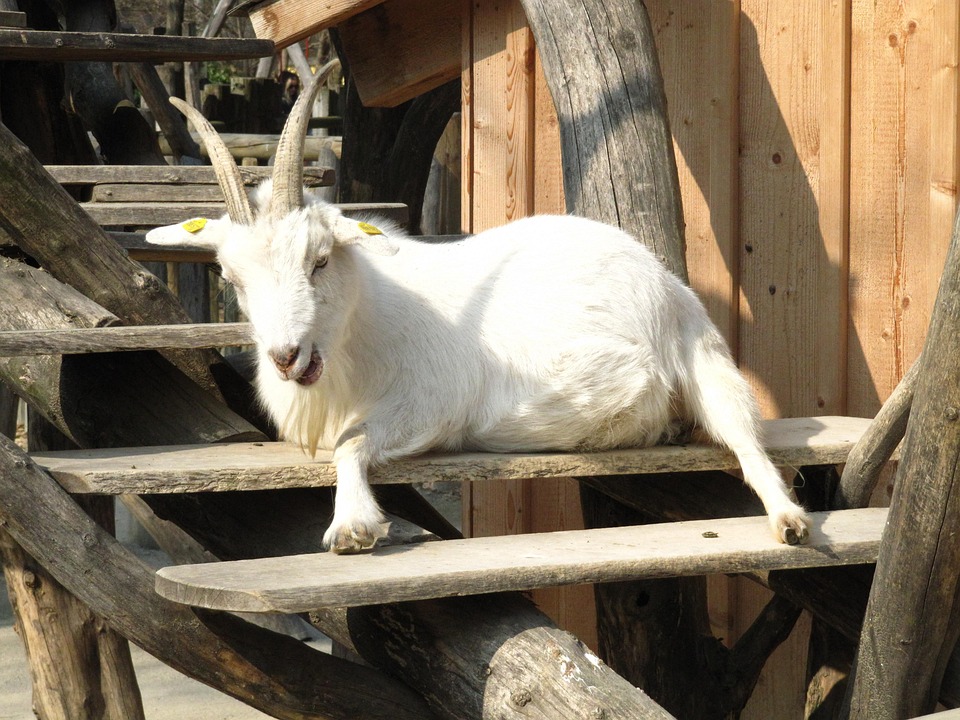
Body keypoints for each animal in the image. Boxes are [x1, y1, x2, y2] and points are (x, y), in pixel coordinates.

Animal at [147, 64, 810, 553]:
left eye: (320, 260)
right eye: (231, 277)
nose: (286, 356)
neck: (366, 323)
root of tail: (665, 283)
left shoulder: (431, 406)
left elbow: (352, 442)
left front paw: (353, 527)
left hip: (703, 368)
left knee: (744, 437)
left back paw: (790, 521)